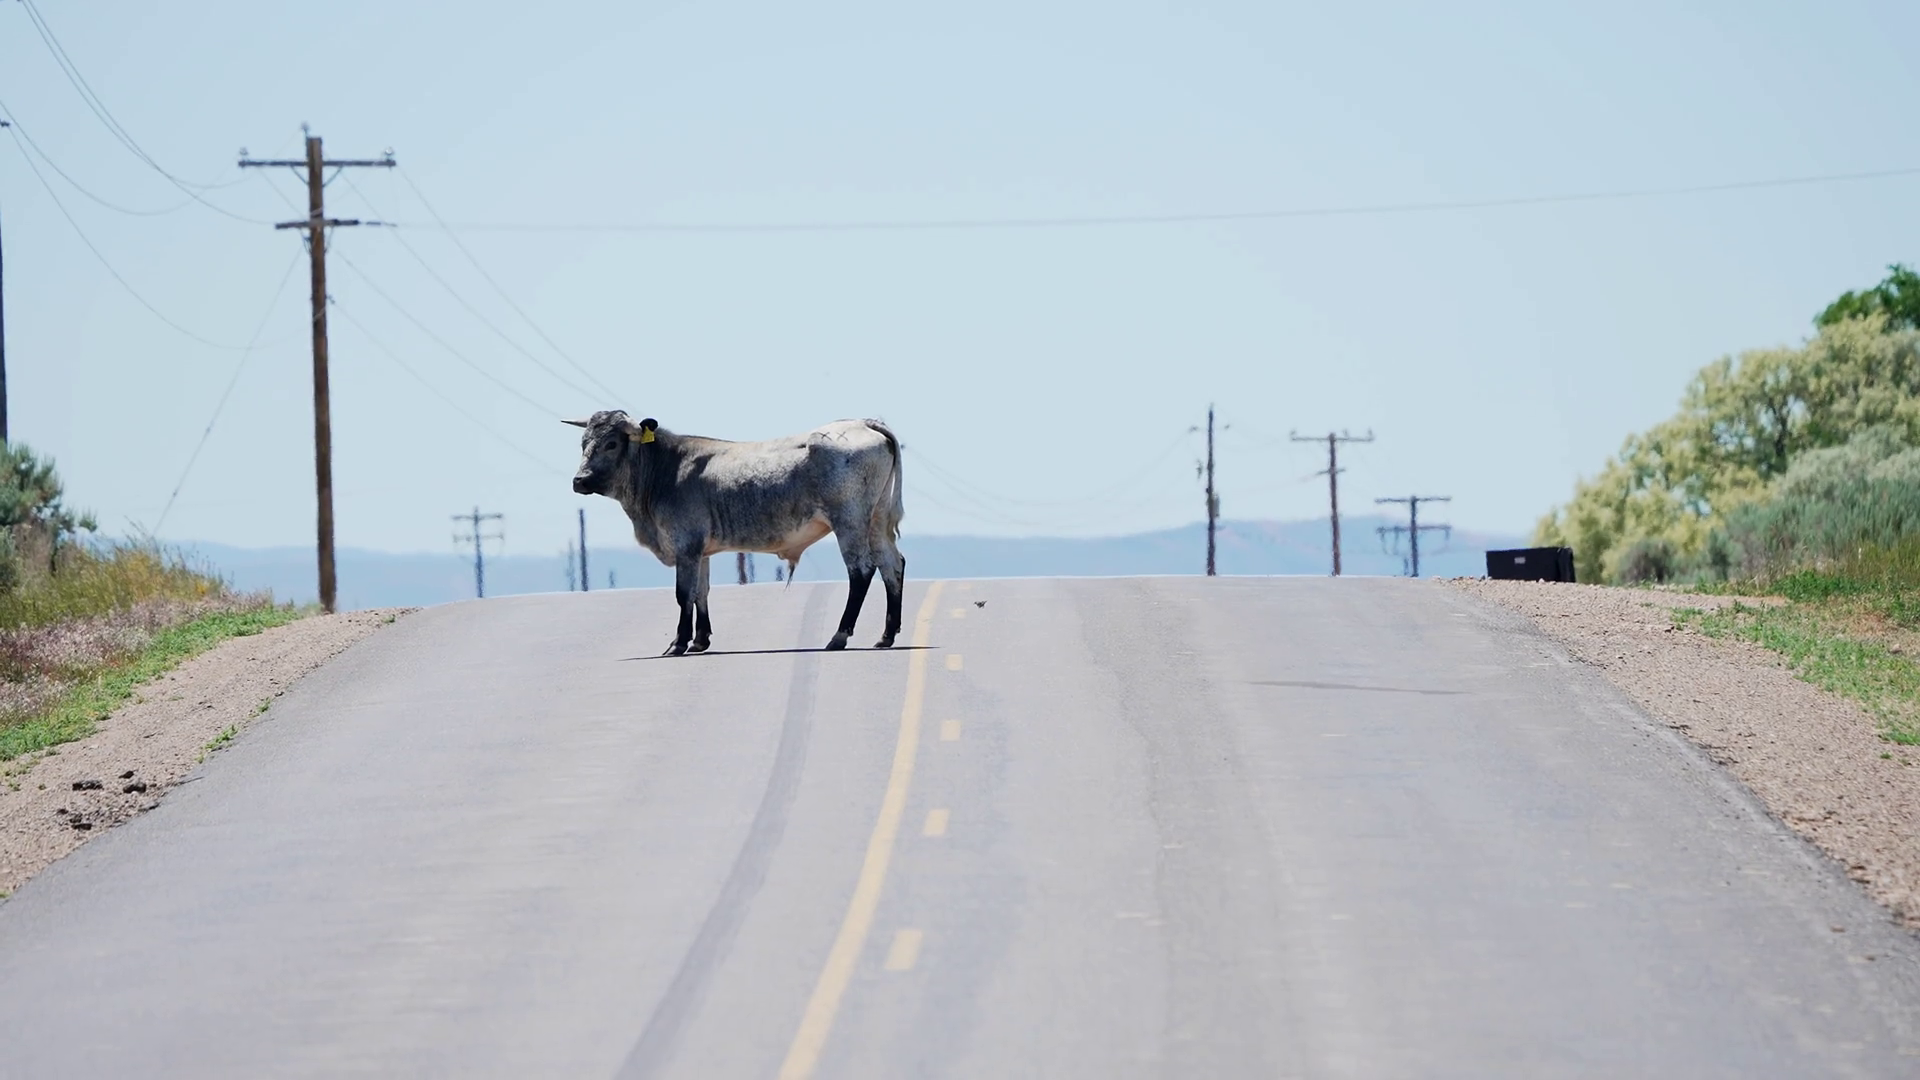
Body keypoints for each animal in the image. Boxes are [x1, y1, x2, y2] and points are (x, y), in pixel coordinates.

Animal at [566, 410, 907, 656]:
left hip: (849, 521)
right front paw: (700, 640)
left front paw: (678, 643)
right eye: (583, 443)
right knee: (893, 565)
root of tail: (863, 422)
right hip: (876, 521)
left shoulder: (685, 546)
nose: (579, 480)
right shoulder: (700, 551)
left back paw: (839, 636)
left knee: (861, 570)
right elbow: (701, 592)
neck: (667, 471)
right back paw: (886, 635)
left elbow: (683, 594)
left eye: (611, 443)